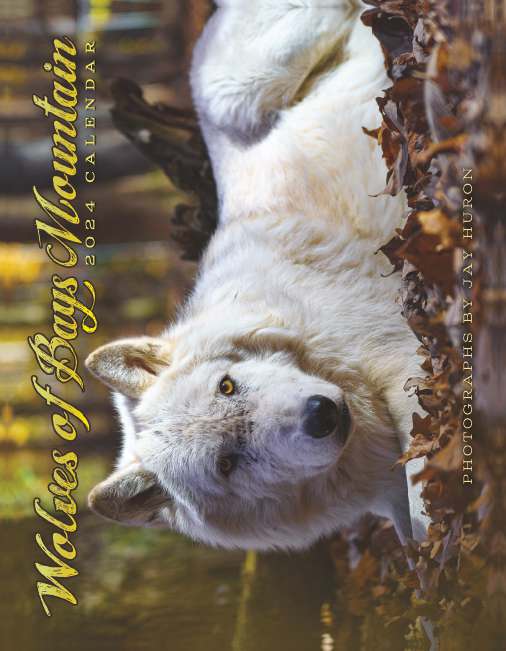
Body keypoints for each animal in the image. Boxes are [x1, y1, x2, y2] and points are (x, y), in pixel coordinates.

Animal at [86, 0, 429, 550]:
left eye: (226, 386)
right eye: (228, 464)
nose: (320, 416)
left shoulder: (395, 351)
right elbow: (415, 523)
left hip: (245, 87)